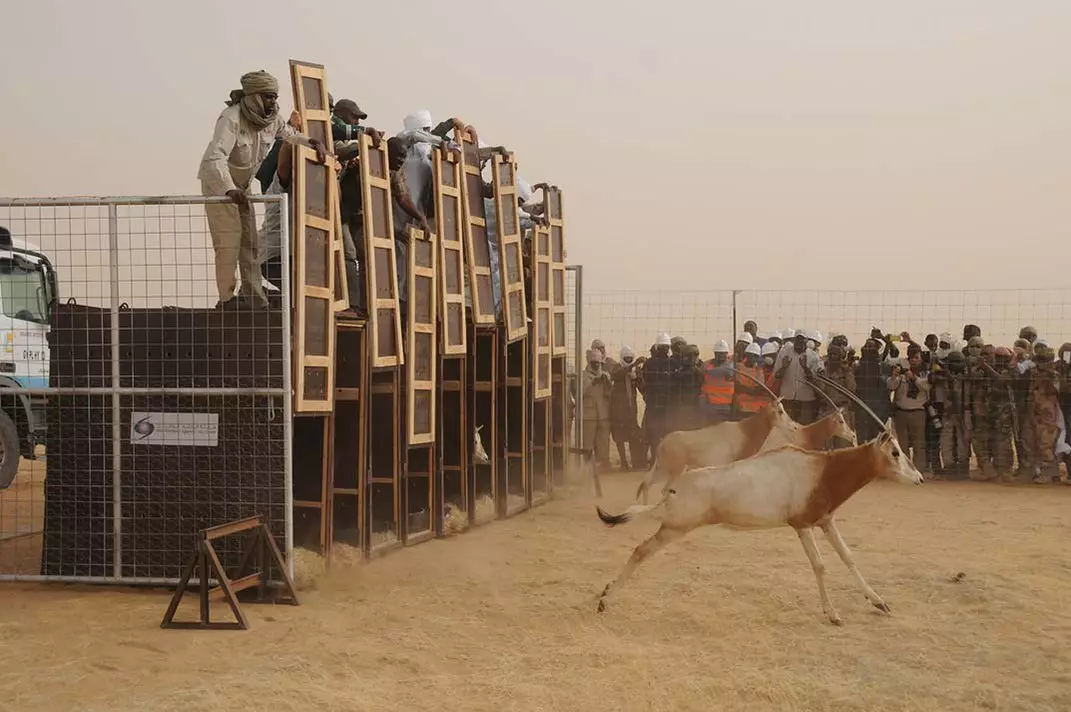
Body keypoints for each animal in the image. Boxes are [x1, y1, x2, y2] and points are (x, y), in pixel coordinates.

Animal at [595, 385, 921, 625]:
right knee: (640, 550)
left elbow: (848, 557)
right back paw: (605, 601)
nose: (918, 478)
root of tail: (674, 490)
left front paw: (879, 602)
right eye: (894, 452)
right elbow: (820, 565)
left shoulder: (825, 521)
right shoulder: (802, 525)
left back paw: (607, 591)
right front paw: (833, 615)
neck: (822, 469)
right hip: (674, 528)